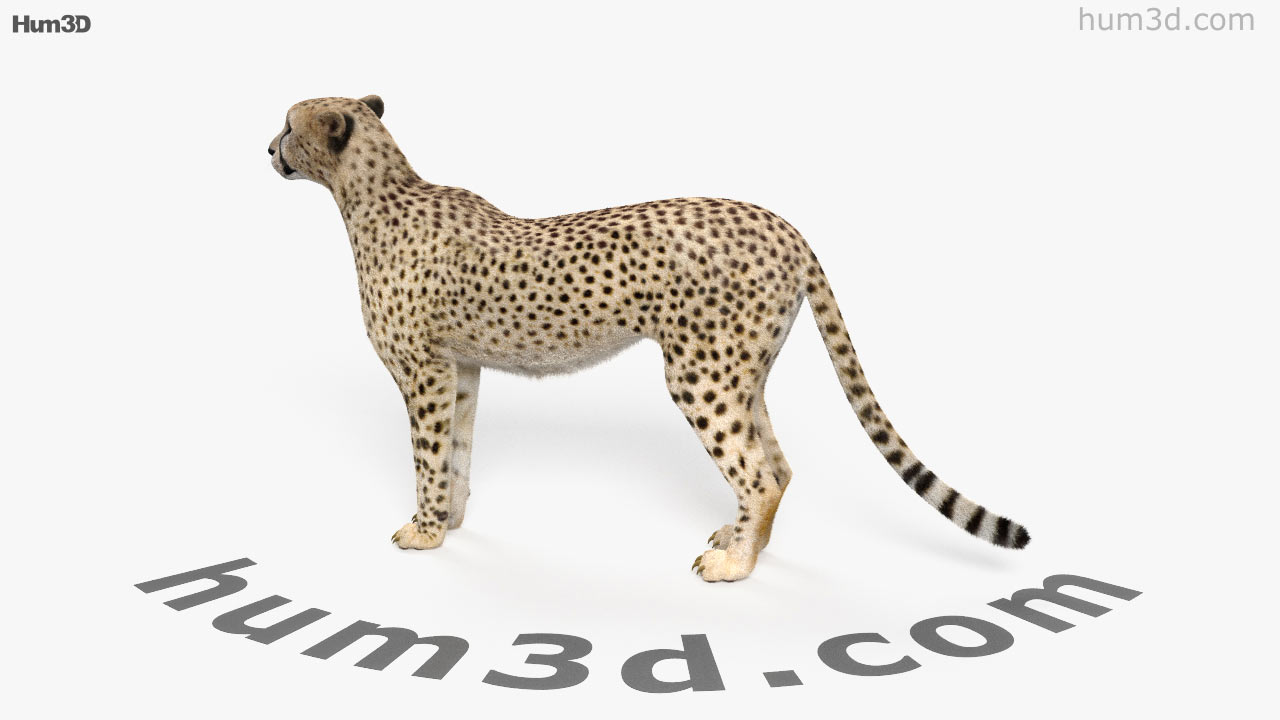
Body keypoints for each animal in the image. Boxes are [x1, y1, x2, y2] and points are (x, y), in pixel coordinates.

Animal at [268, 95, 1031, 582]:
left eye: (287, 123)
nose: (267, 146)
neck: (373, 194)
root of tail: (781, 222)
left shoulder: (423, 371)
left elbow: (427, 454)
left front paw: (423, 532)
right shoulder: (460, 368)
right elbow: (456, 451)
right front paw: (450, 521)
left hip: (700, 374)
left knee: (758, 471)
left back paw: (735, 567)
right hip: (740, 370)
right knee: (779, 466)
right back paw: (743, 541)